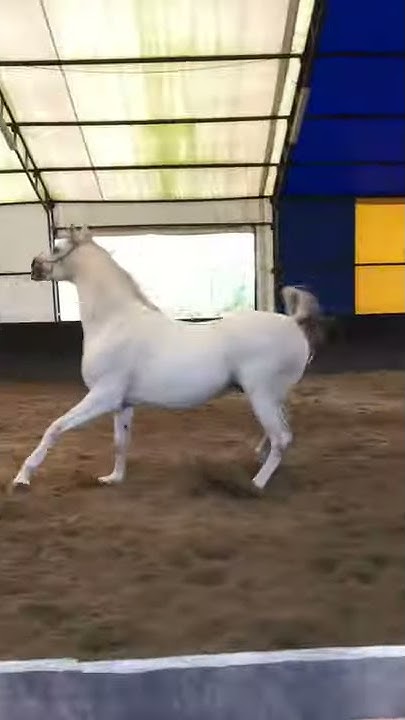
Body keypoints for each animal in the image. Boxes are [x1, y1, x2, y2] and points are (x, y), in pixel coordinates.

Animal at [11, 225, 322, 492]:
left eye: (56, 246)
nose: (33, 266)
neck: (114, 321)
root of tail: (293, 323)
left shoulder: (102, 396)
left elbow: (54, 428)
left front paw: (22, 478)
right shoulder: (122, 403)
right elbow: (120, 442)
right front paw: (113, 478)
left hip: (261, 394)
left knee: (281, 437)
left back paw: (255, 484)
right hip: (272, 396)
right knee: (279, 433)